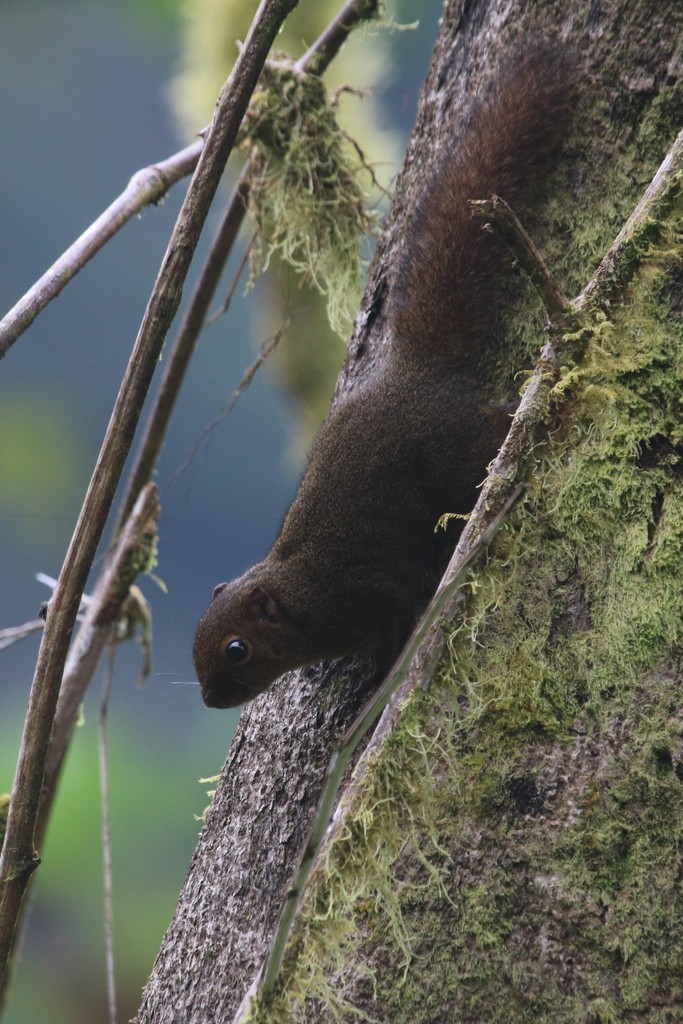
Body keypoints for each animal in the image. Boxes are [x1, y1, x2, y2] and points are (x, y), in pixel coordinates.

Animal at [192, 49, 572, 709]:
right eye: (194, 646)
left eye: (236, 649)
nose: (212, 698)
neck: (299, 595)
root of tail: (413, 372)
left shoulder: (369, 595)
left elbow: (394, 626)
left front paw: (375, 680)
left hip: (457, 449)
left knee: (494, 430)